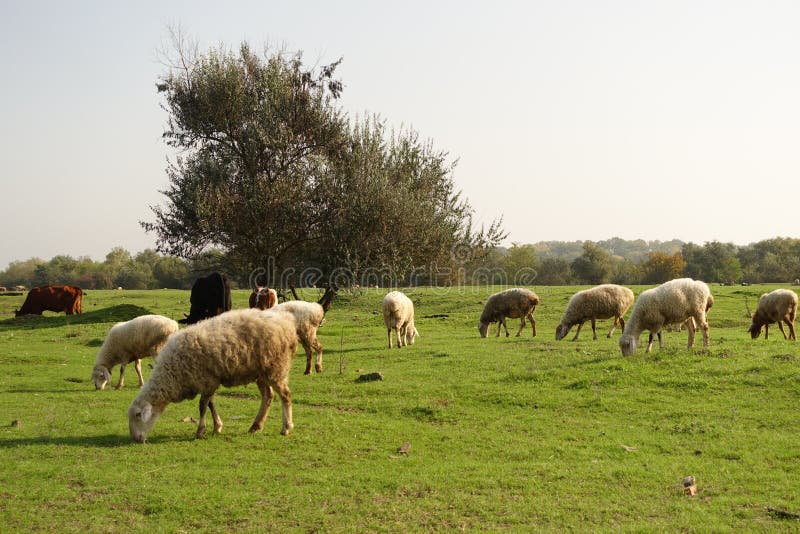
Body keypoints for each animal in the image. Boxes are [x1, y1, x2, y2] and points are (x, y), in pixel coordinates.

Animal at [127, 308, 298, 442]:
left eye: (138, 415)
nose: (136, 439)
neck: (172, 373)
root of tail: (286, 324)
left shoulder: (207, 380)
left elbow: (202, 406)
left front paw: (200, 431)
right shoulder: (210, 381)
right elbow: (211, 404)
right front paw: (217, 427)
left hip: (275, 368)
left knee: (286, 395)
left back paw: (286, 428)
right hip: (260, 372)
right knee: (268, 396)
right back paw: (256, 426)